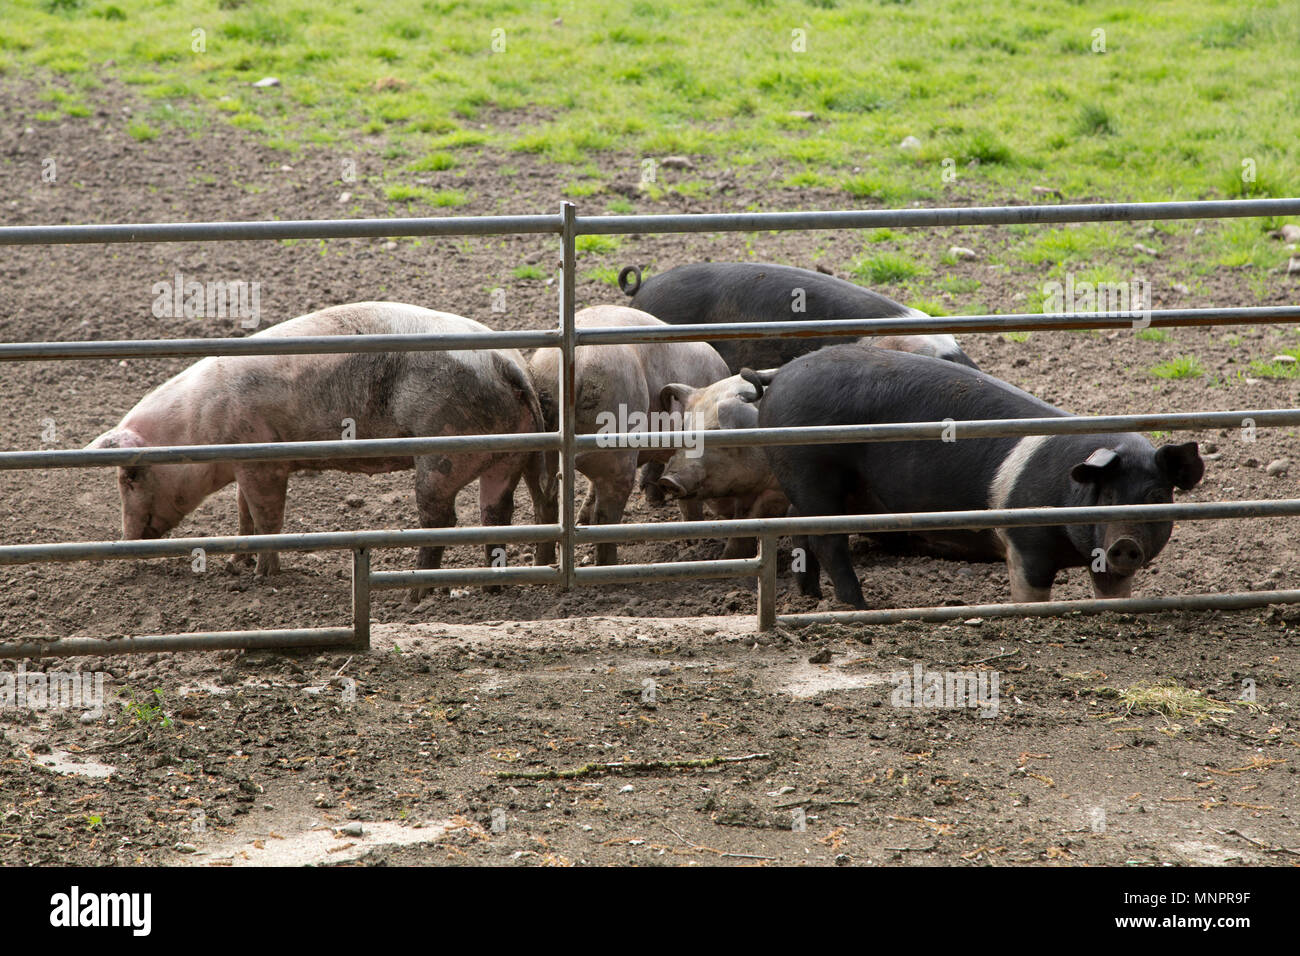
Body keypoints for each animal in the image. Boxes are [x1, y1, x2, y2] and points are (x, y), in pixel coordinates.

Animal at [86, 302, 546, 602]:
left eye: (131, 476)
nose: (126, 540)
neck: (195, 427)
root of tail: (508, 365)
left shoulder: (262, 457)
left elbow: (267, 516)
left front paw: (262, 576)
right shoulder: (244, 463)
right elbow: (243, 512)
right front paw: (236, 565)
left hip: (440, 450)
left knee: (441, 519)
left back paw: (415, 597)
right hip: (509, 452)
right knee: (496, 512)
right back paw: (492, 588)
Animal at [528, 305, 730, 566]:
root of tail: (575, 366)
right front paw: (696, 539)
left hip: (537, 452)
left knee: (545, 506)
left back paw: (545, 561)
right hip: (616, 443)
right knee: (605, 516)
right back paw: (608, 564)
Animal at [756, 344, 1204, 609]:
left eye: (1157, 496)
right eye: (1108, 496)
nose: (1125, 543)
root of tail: (778, 377)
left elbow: (1112, 589)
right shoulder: (1025, 544)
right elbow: (1030, 594)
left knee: (798, 524)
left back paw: (811, 595)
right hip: (812, 472)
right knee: (827, 539)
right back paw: (859, 606)